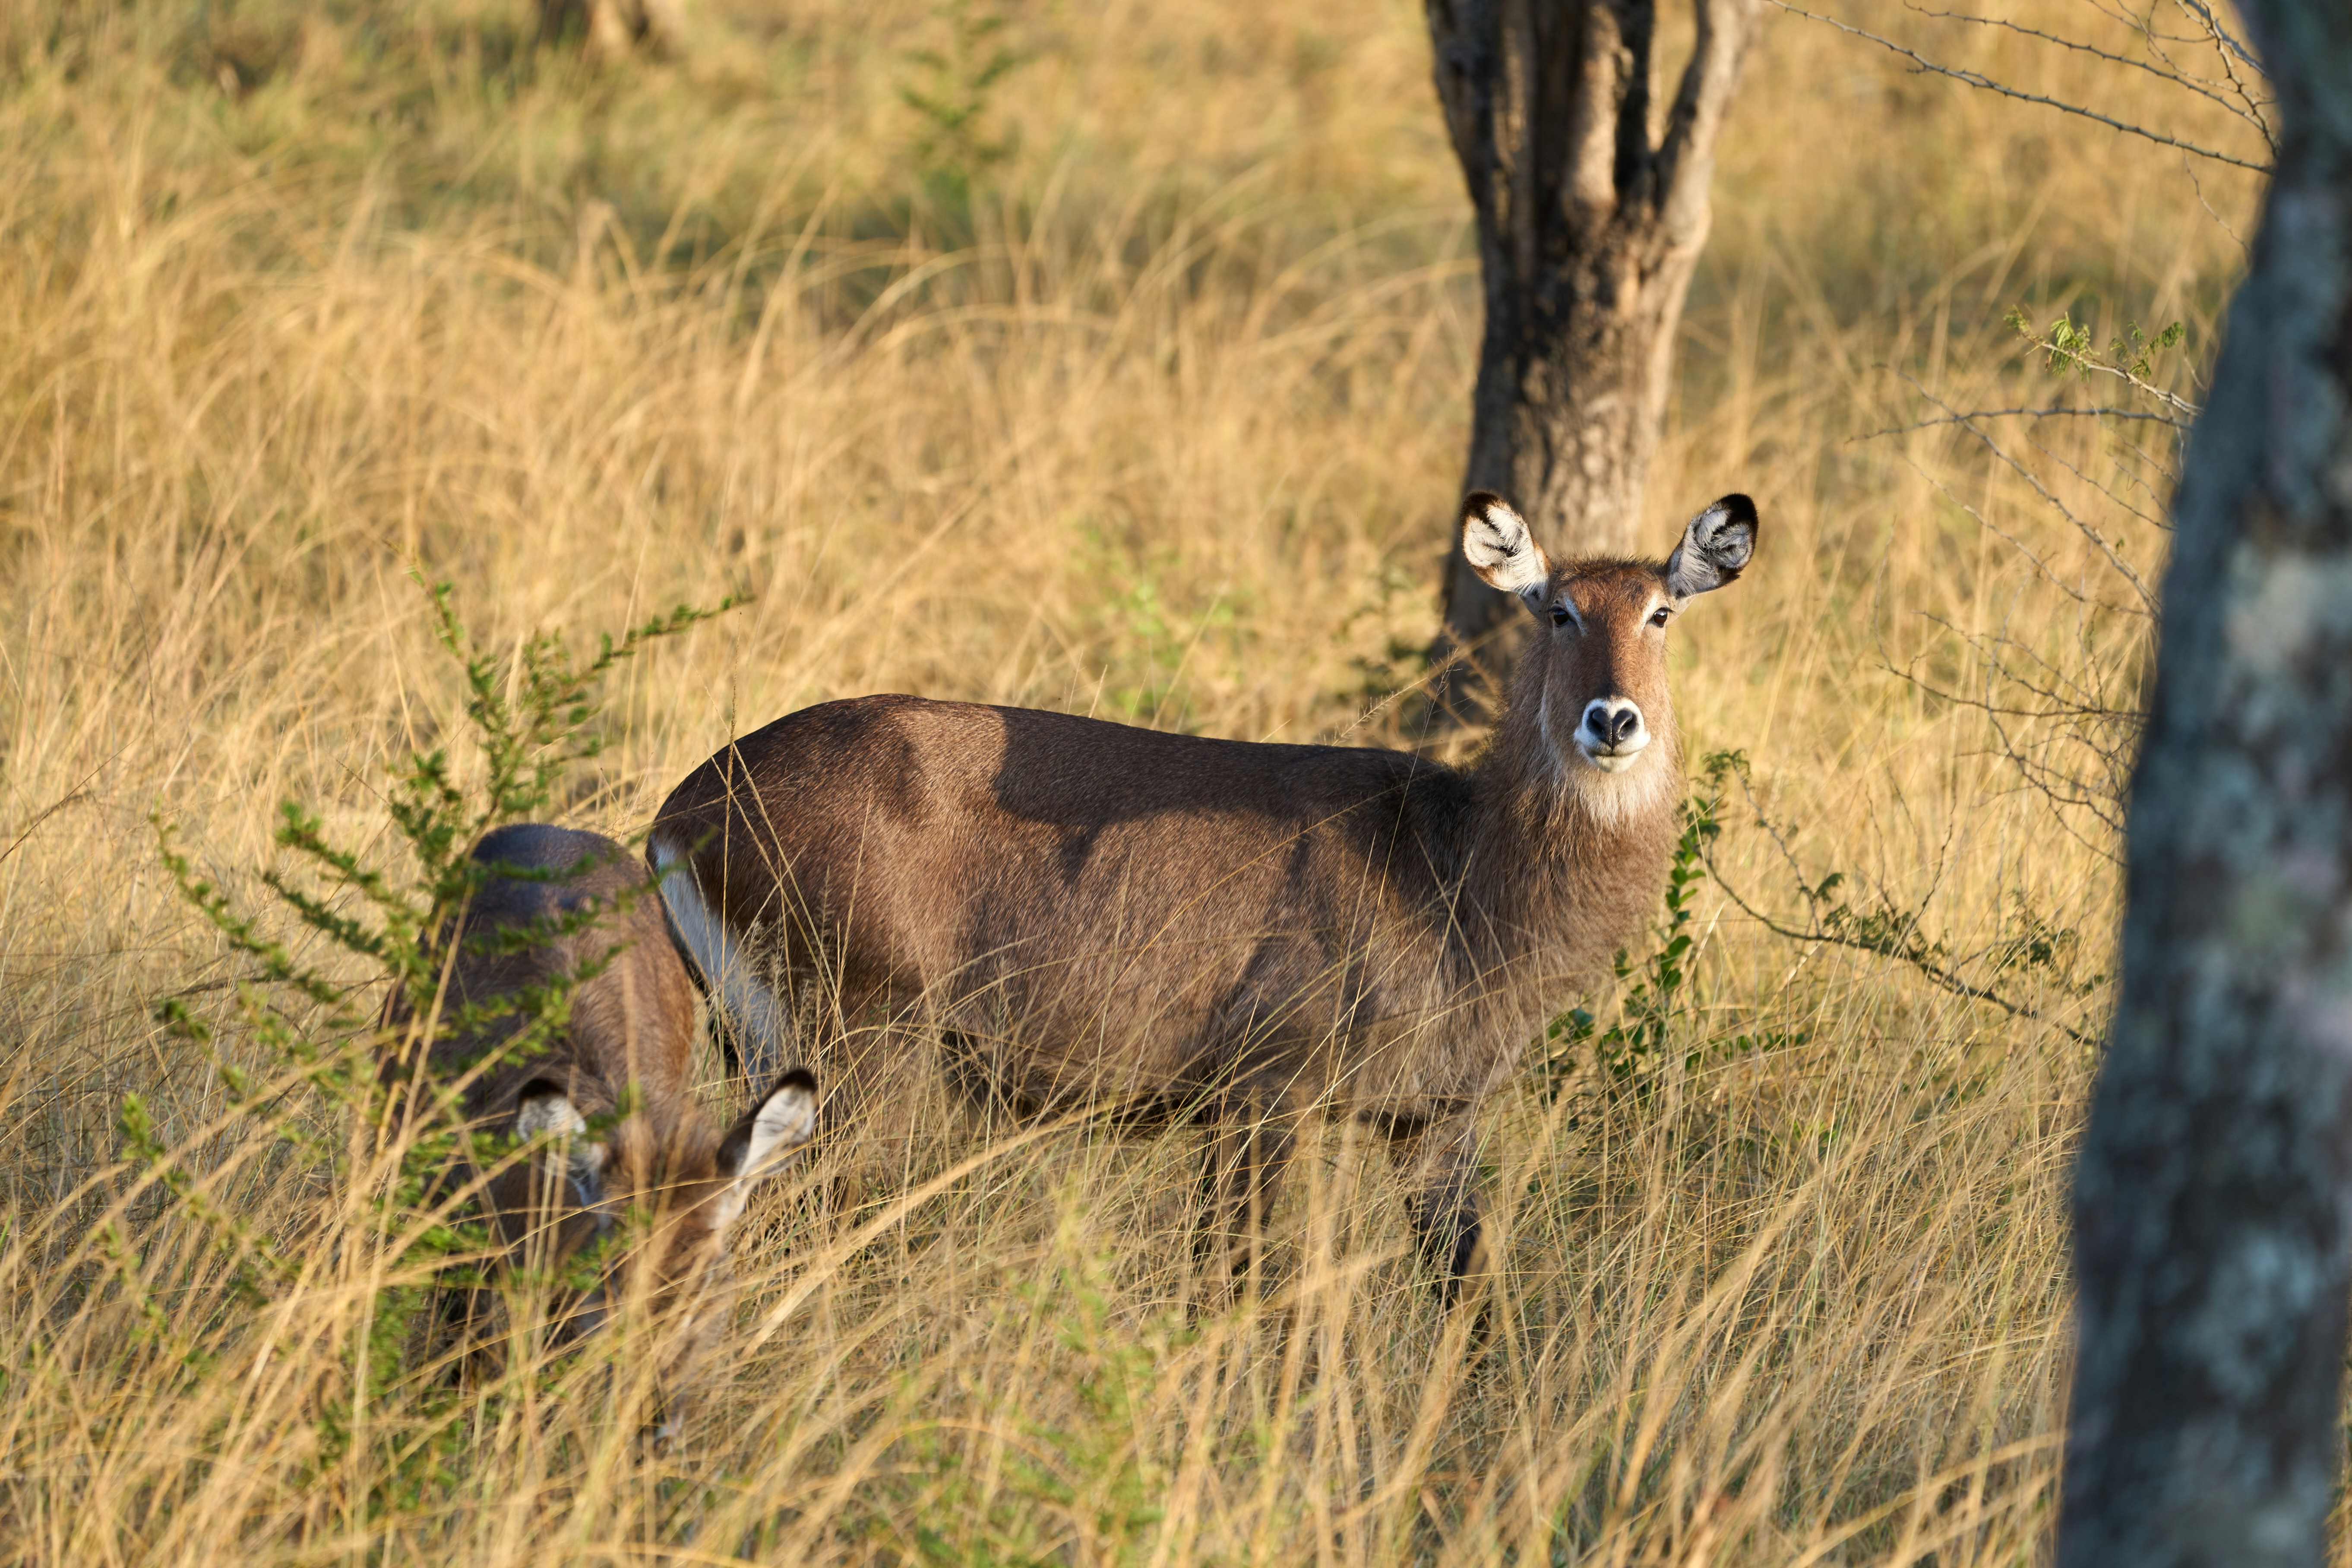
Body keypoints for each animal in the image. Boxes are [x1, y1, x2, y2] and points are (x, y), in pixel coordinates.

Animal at [646, 491, 1758, 1302]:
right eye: (1557, 609)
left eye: (1661, 610)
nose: (1611, 719)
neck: (1453, 861)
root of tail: (685, 804)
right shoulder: (1264, 1096)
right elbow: (1251, 1291)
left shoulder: (1432, 1123)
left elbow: (1471, 1299)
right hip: (862, 1062)